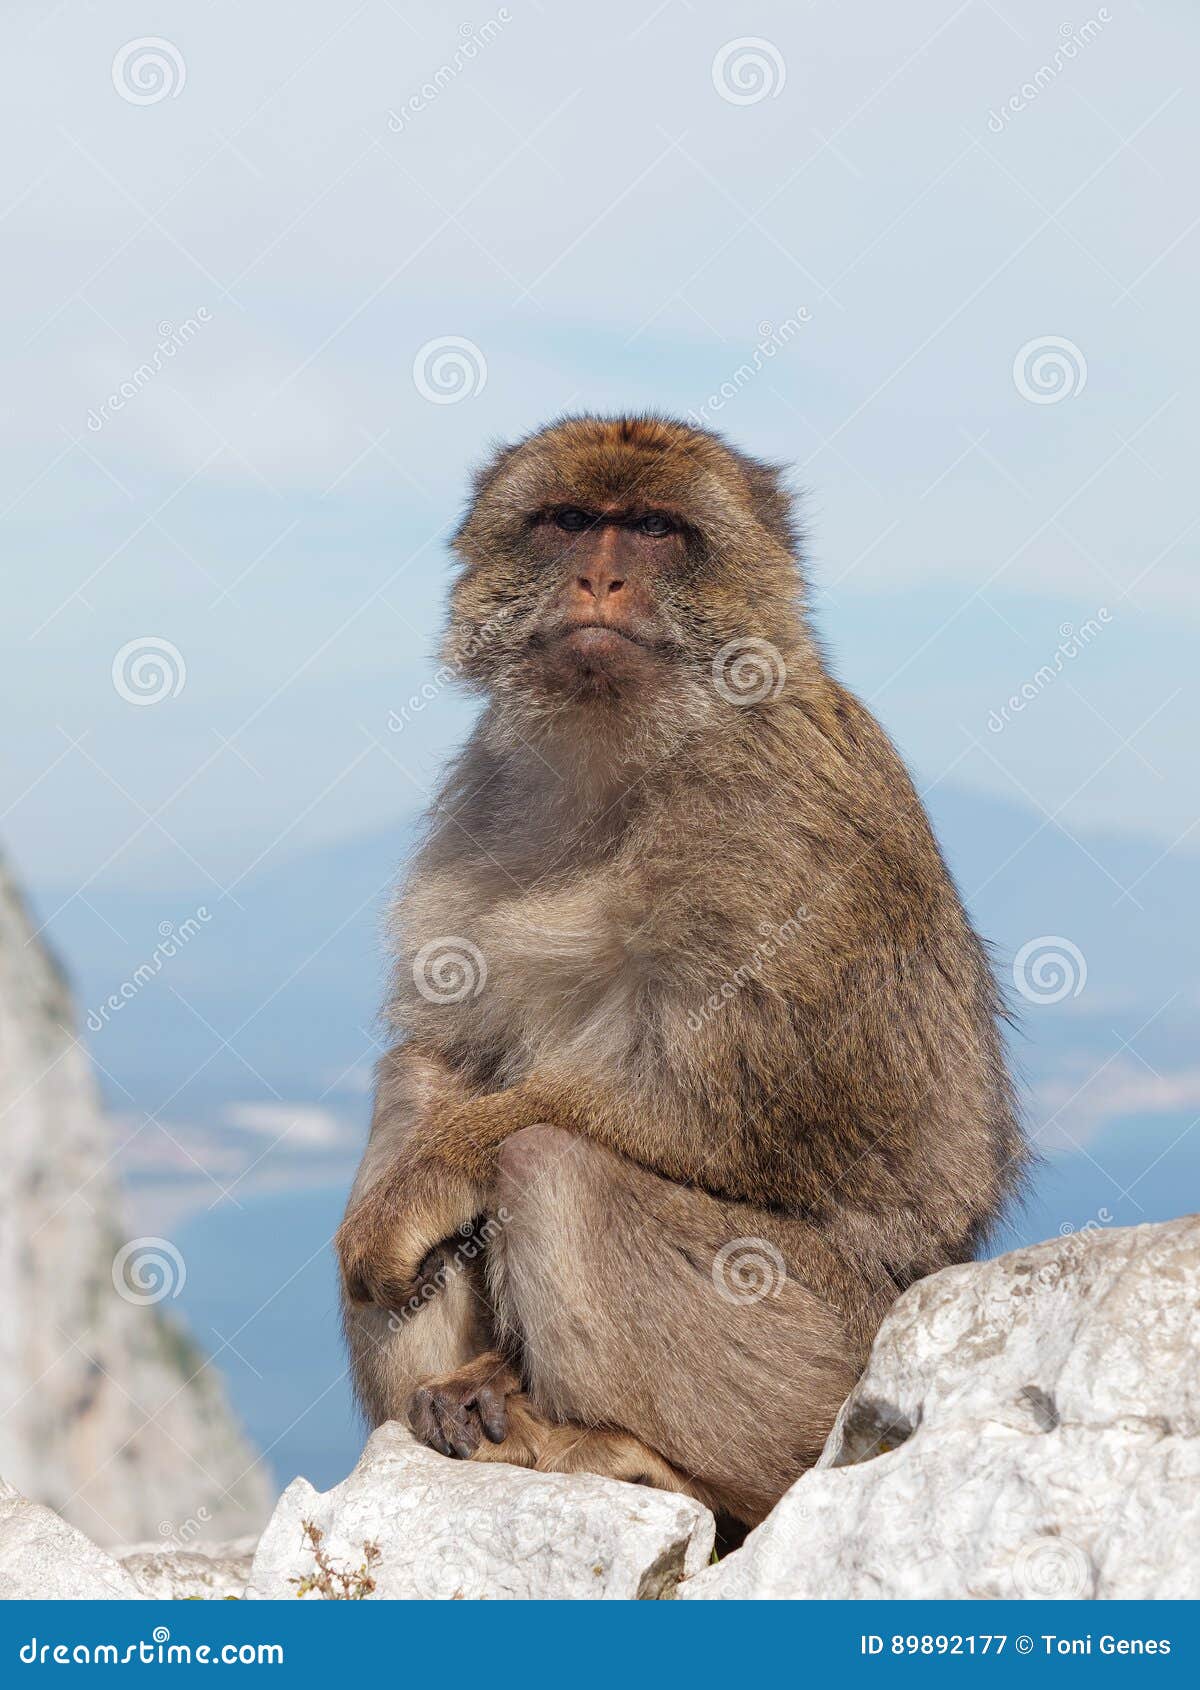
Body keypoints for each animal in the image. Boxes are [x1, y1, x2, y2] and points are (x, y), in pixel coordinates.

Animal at [336, 413, 1027, 1528]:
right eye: (572, 521)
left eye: (656, 530)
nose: (599, 580)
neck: (630, 744)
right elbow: (452, 1050)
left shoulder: (769, 836)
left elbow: (710, 1105)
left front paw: (428, 1188)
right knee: (418, 1076)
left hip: (825, 1369)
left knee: (553, 1163)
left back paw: (639, 1457)